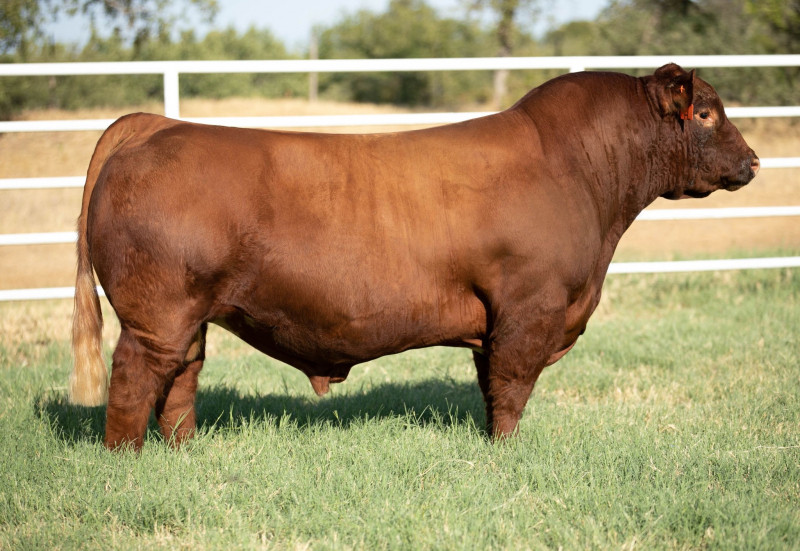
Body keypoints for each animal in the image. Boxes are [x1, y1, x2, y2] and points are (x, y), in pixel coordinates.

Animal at [69, 64, 759, 450]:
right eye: (704, 112)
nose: (753, 161)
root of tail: (156, 125)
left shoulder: (499, 320)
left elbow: (490, 386)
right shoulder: (529, 309)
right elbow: (512, 389)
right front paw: (506, 455)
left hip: (189, 316)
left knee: (181, 380)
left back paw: (183, 453)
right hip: (156, 313)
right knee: (132, 381)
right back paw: (126, 462)